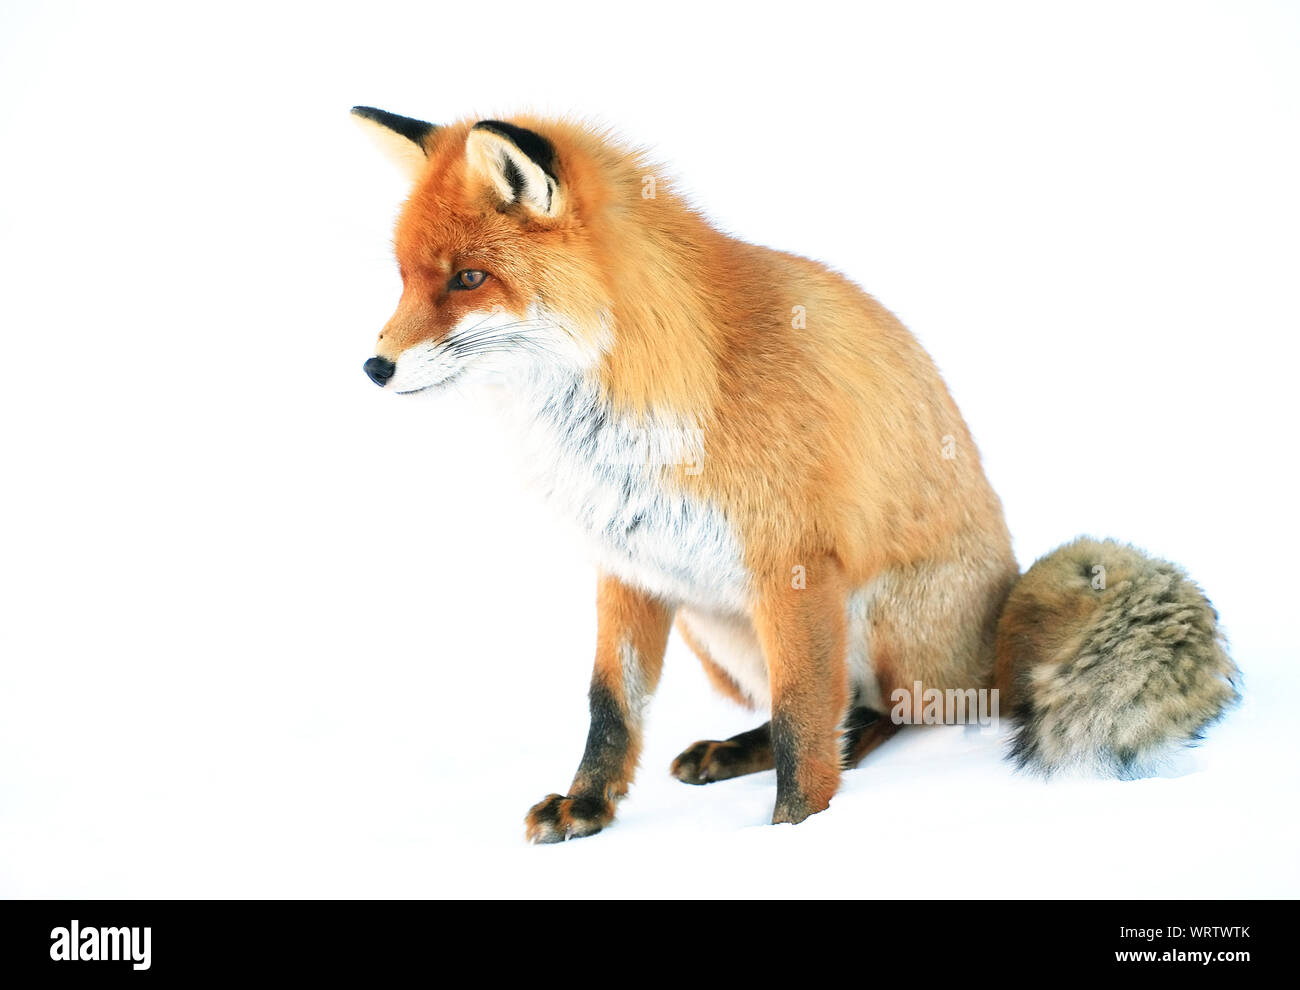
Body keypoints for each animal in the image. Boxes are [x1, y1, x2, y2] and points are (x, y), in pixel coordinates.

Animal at [351, 106, 1241, 842]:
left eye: (468, 278)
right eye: (403, 278)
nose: (374, 367)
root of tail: (1000, 624)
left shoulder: (796, 565)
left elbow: (803, 720)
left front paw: (795, 830)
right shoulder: (626, 567)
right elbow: (612, 707)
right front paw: (588, 806)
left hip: (876, 618)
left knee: (880, 710)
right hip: (714, 629)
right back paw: (728, 749)